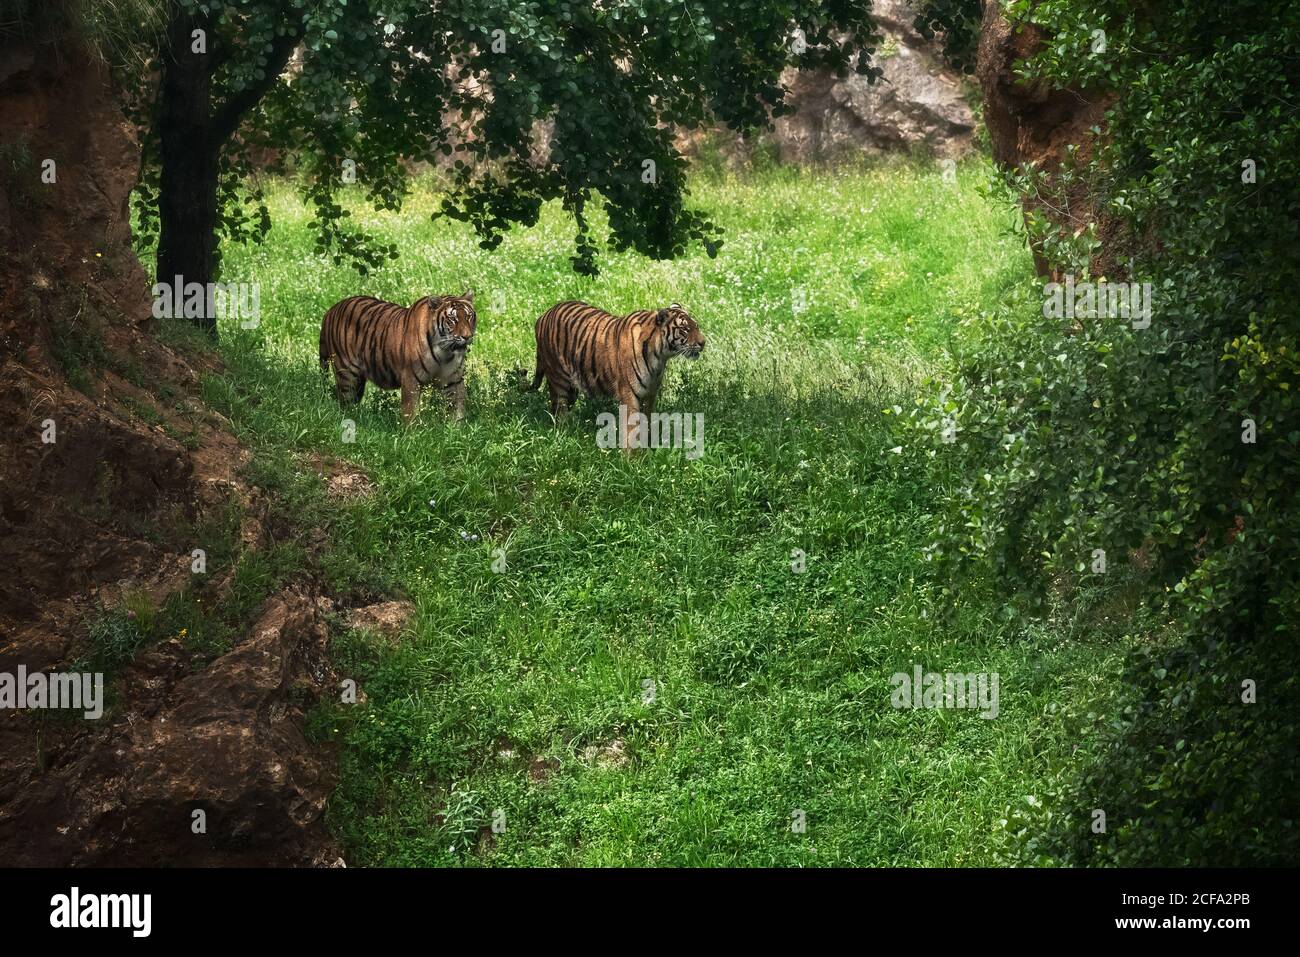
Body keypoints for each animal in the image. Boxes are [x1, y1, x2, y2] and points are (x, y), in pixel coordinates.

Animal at [319, 290, 477, 422]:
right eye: (452, 320)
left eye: (469, 317)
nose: (467, 336)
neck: (445, 352)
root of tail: (331, 310)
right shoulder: (411, 379)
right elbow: (410, 412)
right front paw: (411, 436)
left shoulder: (453, 380)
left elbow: (457, 407)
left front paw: (456, 432)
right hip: (346, 374)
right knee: (345, 402)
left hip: (359, 380)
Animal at [526, 300, 705, 450]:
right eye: (685, 329)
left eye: (696, 326)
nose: (703, 343)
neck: (660, 356)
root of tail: (543, 315)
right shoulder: (629, 394)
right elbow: (632, 428)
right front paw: (633, 461)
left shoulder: (650, 395)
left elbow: (647, 423)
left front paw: (648, 450)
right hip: (559, 380)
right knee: (558, 412)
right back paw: (564, 439)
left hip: (572, 389)